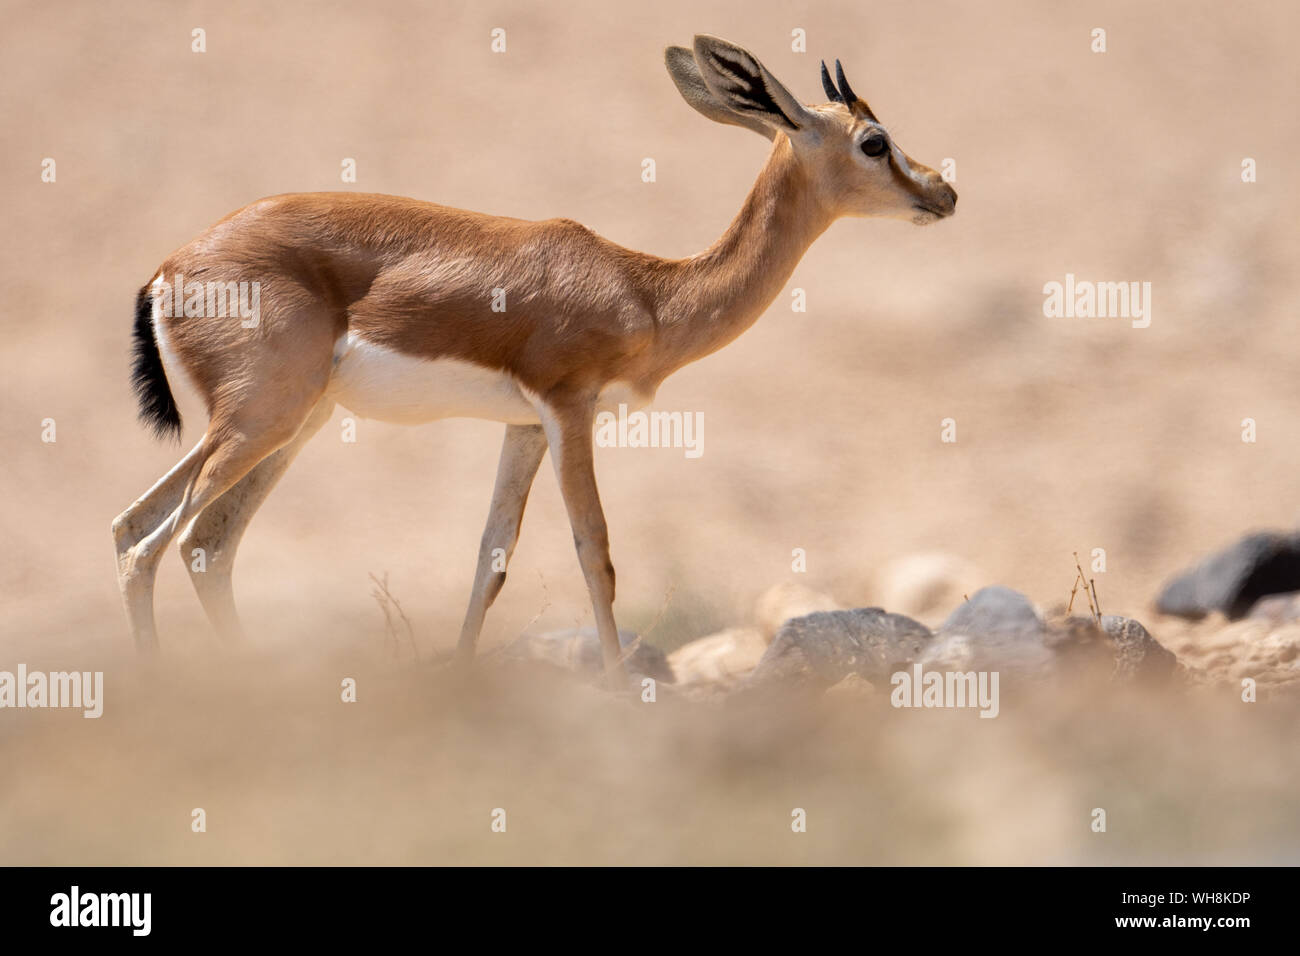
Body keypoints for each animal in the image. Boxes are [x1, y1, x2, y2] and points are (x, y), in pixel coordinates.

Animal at [112, 35, 956, 680]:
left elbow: (492, 556)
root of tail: (170, 269)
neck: (647, 290)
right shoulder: (568, 410)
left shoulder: (521, 426)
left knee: (177, 536)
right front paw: (616, 687)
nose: (944, 193)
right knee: (160, 543)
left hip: (291, 426)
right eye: (874, 141)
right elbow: (596, 550)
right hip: (262, 422)